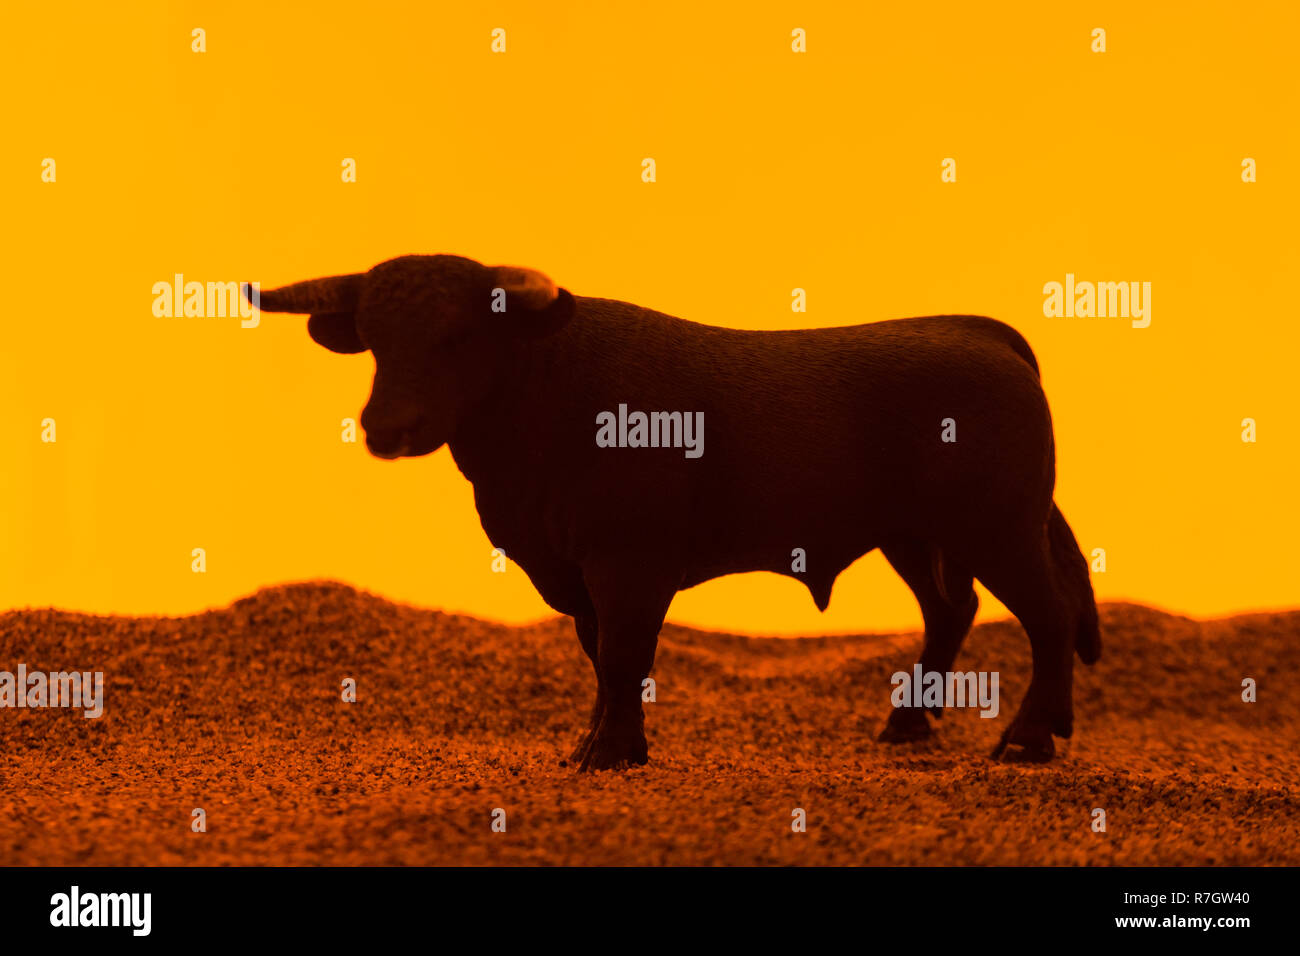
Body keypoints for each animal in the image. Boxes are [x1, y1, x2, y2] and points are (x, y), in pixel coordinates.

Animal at [246, 254, 1101, 770]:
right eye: (375, 339)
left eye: (458, 336)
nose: (387, 427)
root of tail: (975, 331)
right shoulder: (573, 573)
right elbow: (600, 658)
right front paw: (597, 741)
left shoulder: (630, 563)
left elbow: (626, 654)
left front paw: (612, 752)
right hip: (917, 537)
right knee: (951, 610)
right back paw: (907, 724)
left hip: (999, 528)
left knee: (1047, 615)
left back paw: (1029, 739)